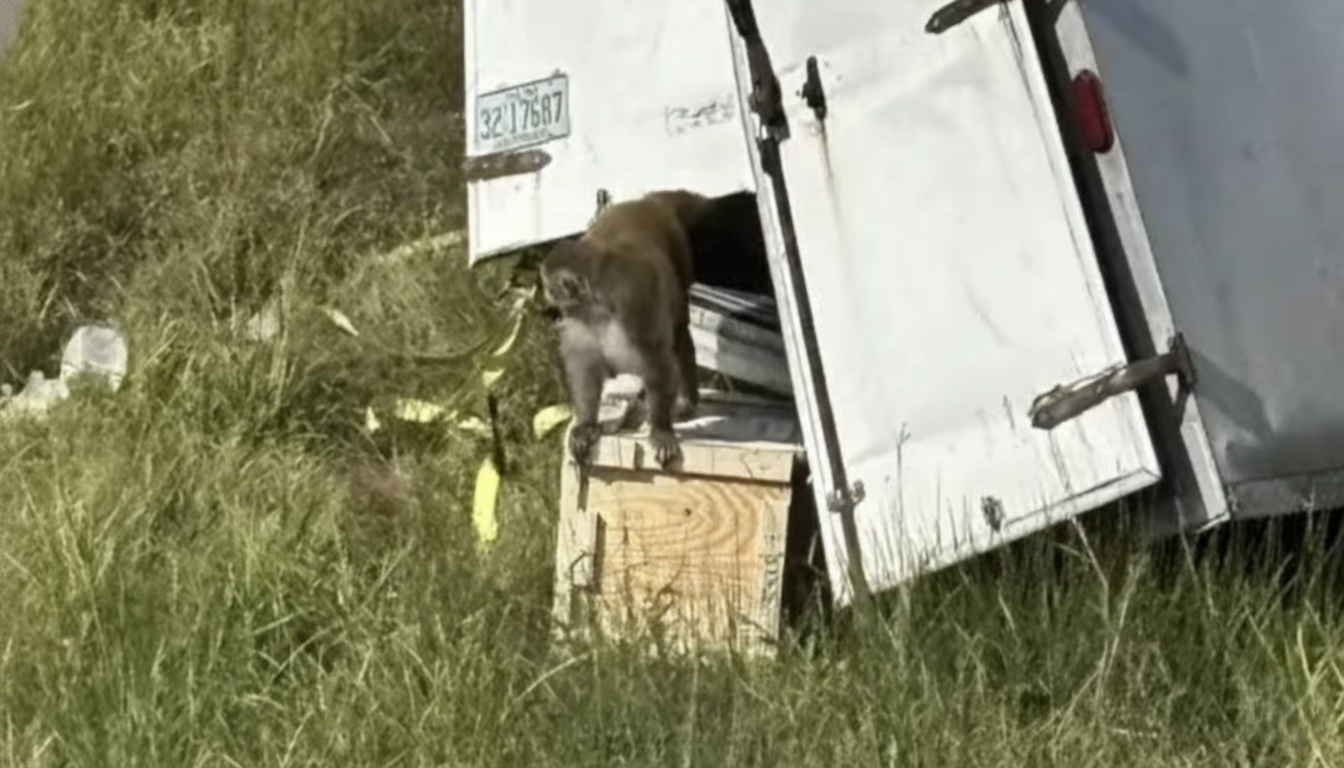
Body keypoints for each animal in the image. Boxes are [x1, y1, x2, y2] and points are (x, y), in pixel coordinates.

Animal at [540, 189, 709, 470]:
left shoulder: (634, 302)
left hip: (679, 253)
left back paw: (685, 400)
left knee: (679, 333)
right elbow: (584, 365)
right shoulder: (580, 320)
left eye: (551, 286)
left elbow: (657, 361)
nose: (547, 294)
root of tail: (648, 201)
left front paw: (661, 429)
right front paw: (586, 424)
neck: (598, 306)